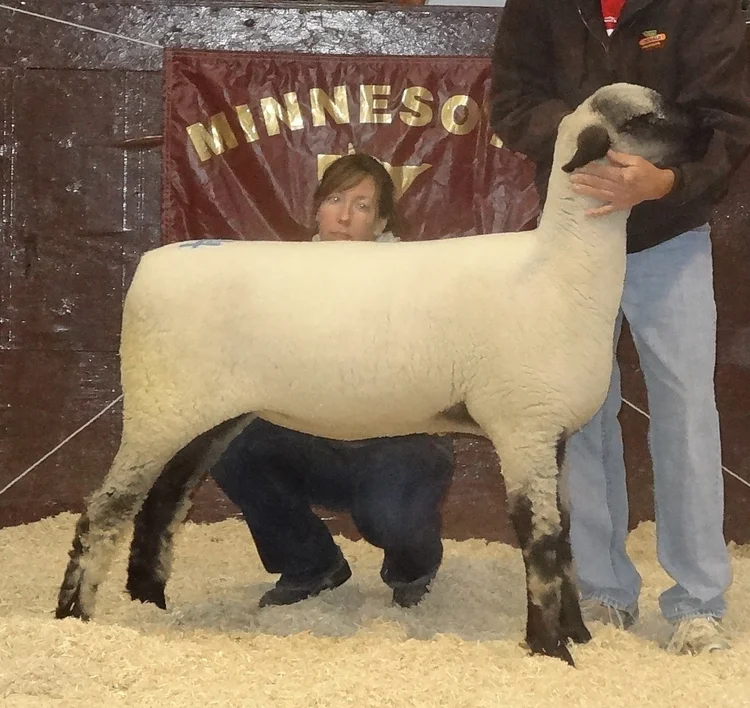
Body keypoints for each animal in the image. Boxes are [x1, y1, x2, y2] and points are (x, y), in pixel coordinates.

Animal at [55, 83, 696, 666]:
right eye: (642, 119)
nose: (708, 132)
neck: (559, 270)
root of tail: (151, 264)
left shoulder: (551, 432)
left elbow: (562, 538)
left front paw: (578, 634)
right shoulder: (523, 426)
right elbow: (538, 540)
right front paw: (550, 648)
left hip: (207, 416)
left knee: (164, 501)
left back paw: (148, 602)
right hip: (157, 405)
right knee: (105, 508)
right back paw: (72, 619)